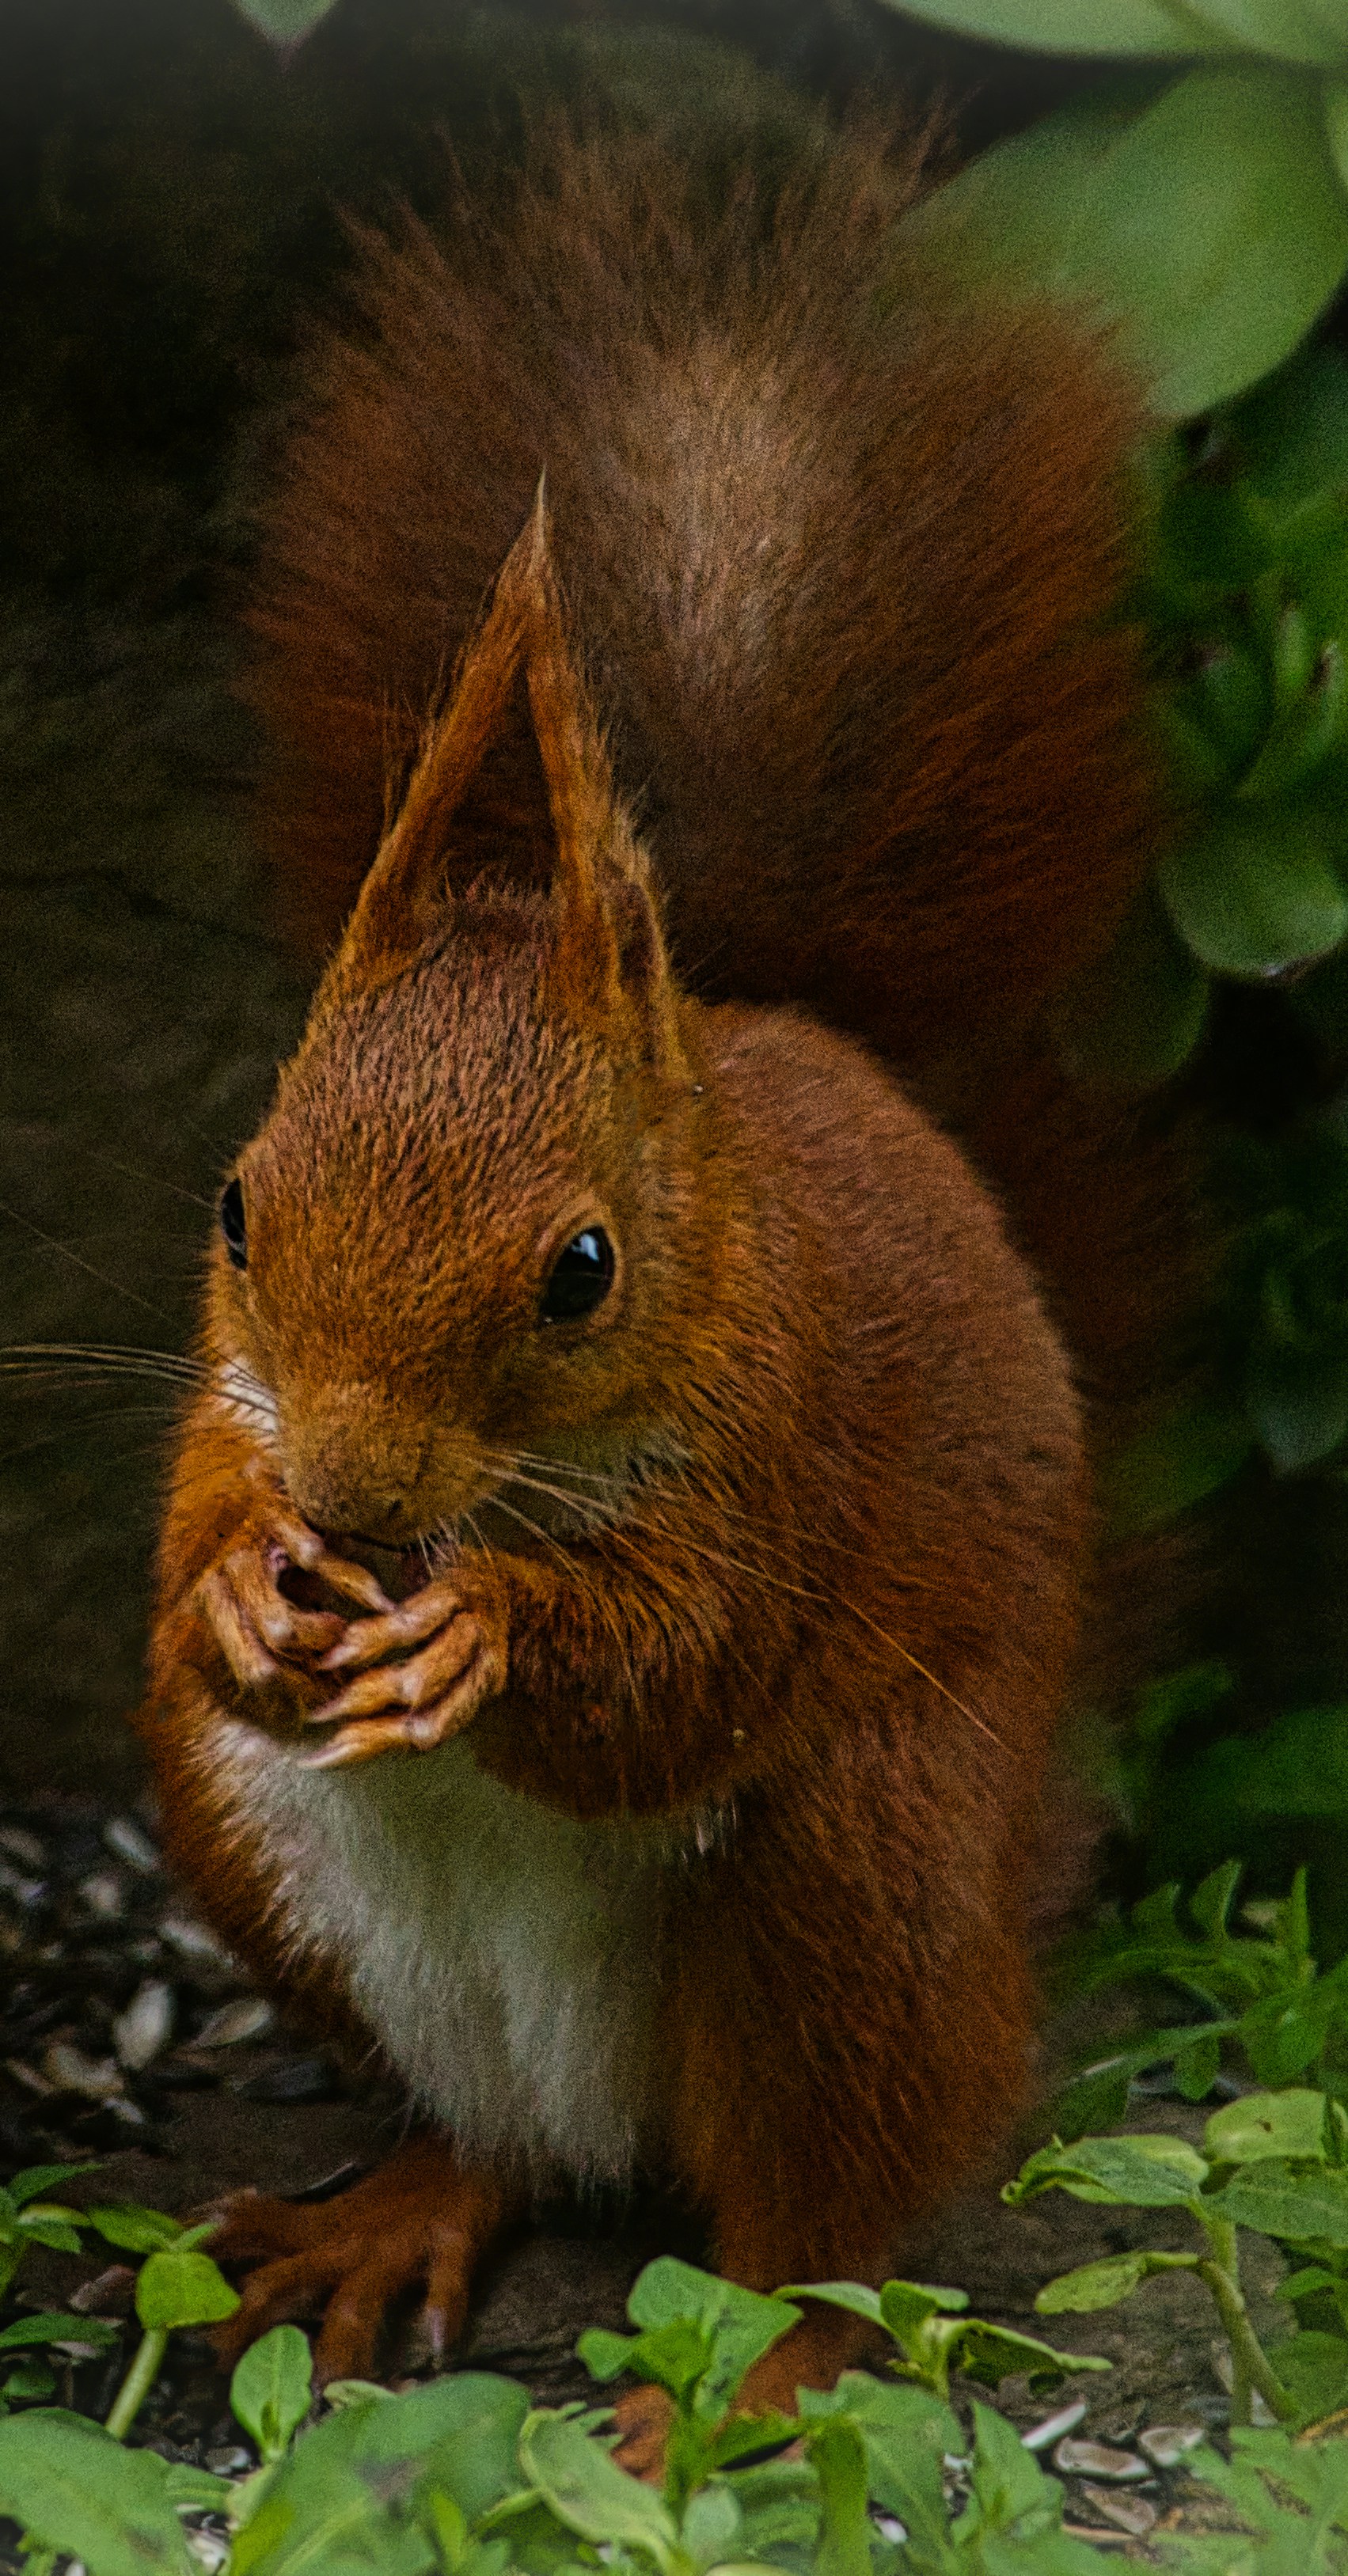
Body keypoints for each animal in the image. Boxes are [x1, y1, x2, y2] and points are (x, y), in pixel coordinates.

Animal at [137, 123, 1169, 2440]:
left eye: (580, 1273)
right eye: (235, 1205)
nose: (347, 1509)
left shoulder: (792, 1437)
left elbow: (681, 1666)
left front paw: (492, 1636)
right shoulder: (225, 1401)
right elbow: (184, 1557)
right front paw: (245, 1588)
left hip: (853, 1888)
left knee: (820, 2210)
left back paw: (759, 2367)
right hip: (272, 1865)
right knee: (493, 2138)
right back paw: (387, 2214)